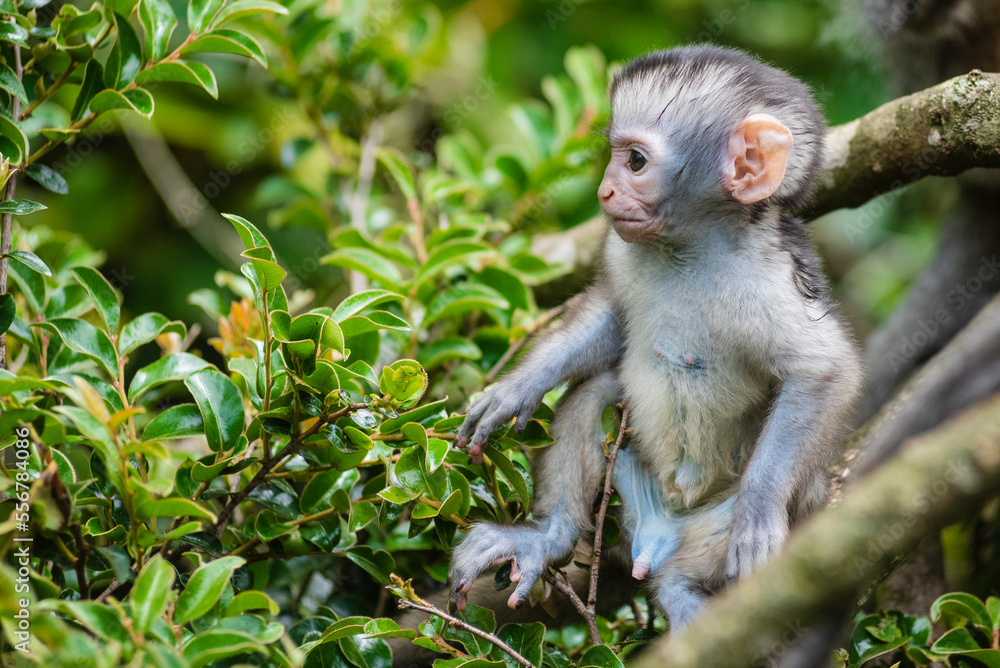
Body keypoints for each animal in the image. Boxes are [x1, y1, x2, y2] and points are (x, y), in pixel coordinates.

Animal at [448, 45, 862, 632]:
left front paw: (758, 514)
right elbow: (612, 322)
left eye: (636, 161)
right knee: (595, 394)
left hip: (712, 529)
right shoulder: (623, 249)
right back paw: (548, 538)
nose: (605, 190)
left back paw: (686, 595)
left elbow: (824, 372)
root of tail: (658, 536)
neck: (689, 250)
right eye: (615, 155)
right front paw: (519, 387)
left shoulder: (768, 283)